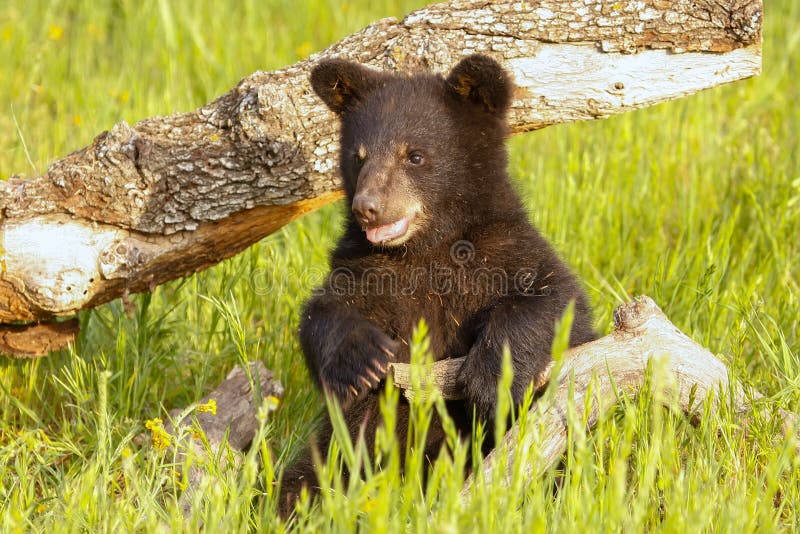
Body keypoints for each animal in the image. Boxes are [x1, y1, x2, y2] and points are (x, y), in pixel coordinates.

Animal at [279, 54, 597, 515]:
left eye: (414, 155)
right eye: (358, 155)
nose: (367, 207)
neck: (426, 248)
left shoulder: (504, 251)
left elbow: (557, 302)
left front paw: (491, 378)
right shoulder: (367, 270)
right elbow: (322, 312)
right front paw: (362, 357)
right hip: (340, 449)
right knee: (306, 479)